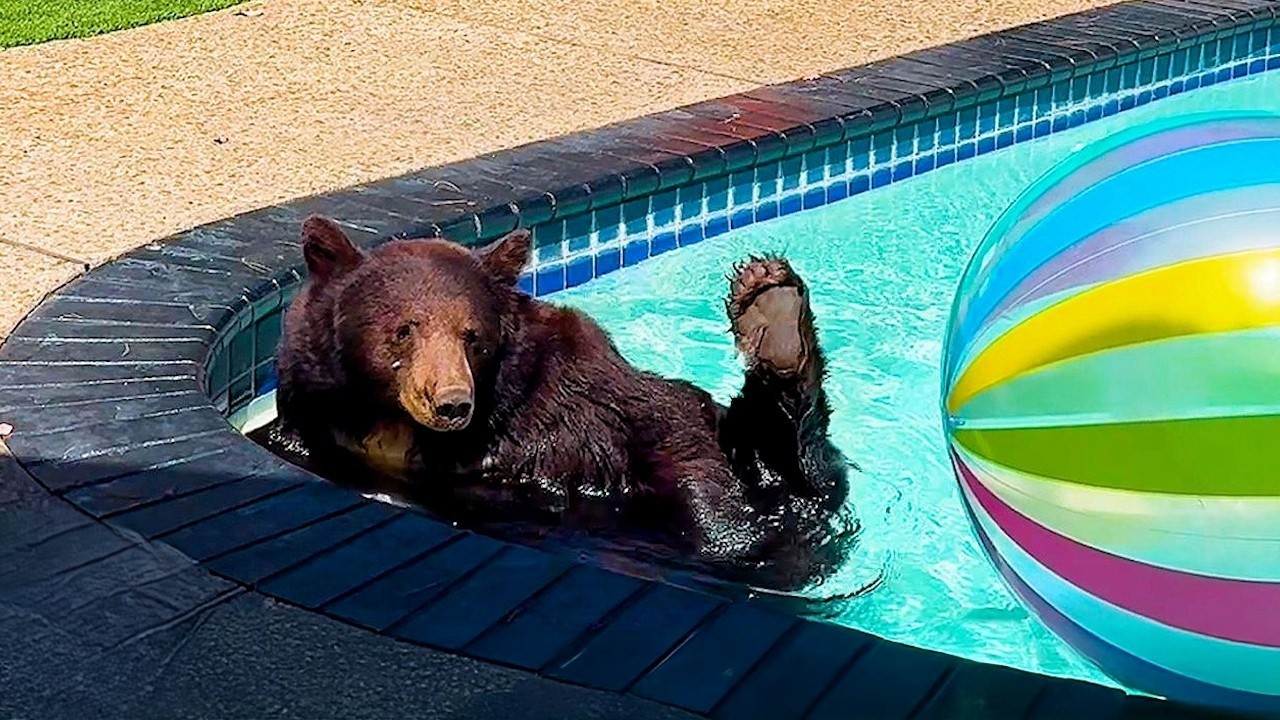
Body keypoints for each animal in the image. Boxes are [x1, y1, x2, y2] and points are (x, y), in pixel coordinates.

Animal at [271, 215, 852, 589]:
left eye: (472, 336)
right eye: (404, 330)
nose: (452, 403)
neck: (392, 421)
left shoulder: (568, 380)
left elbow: (663, 421)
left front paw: (727, 536)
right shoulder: (312, 420)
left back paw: (773, 312)